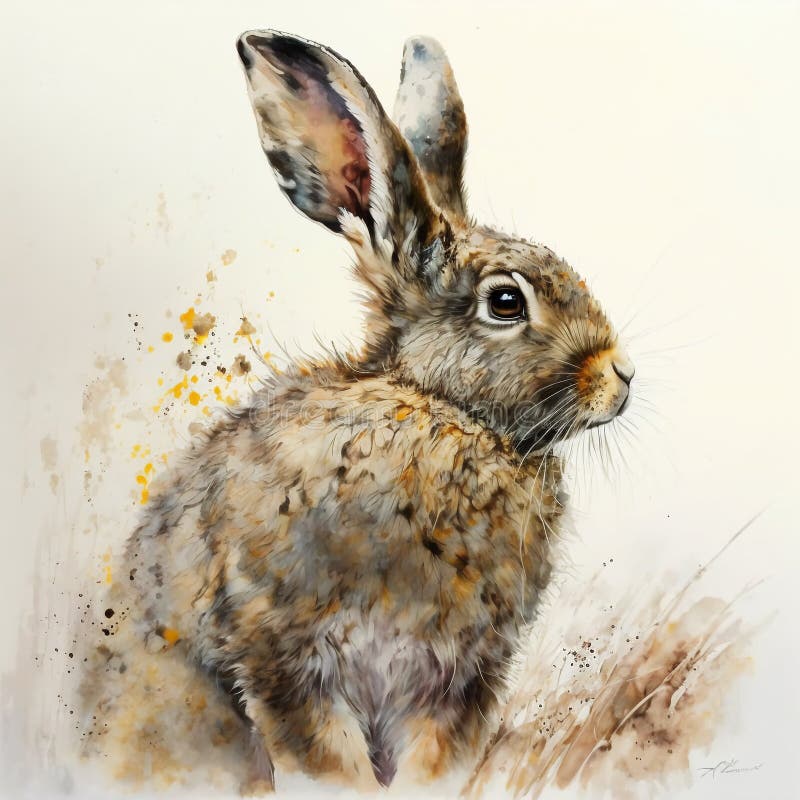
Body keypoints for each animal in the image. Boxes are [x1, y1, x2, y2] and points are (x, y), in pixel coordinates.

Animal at [83, 30, 635, 795]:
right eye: (505, 302)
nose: (622, 378)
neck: (438, 410)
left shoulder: (458, 678)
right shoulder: (283, 653)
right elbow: (327, 764)